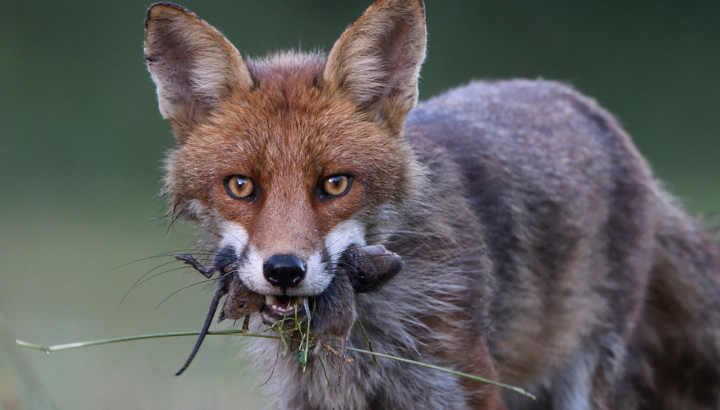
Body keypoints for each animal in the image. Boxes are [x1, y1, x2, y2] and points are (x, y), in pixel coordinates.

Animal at [143, 0, 720, 409]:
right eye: (241, 186)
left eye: (336, 184)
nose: (284, 271)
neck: (364, 339)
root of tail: (588, 107)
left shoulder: (466, 386)